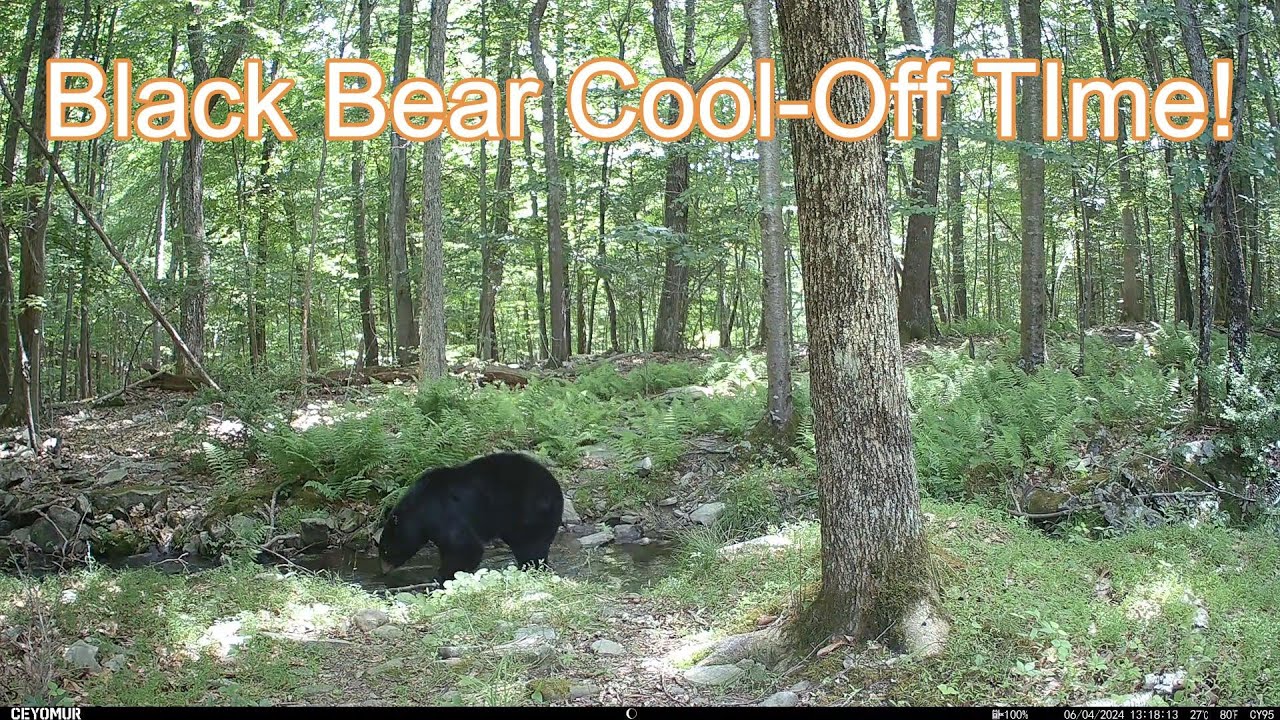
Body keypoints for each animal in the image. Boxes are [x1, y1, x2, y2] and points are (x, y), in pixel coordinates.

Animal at [377, 451, 565, 585]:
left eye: (385, 550)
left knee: (531, 549)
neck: (420, 510)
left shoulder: (444, 514)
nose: (383, 570)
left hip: (530, 514)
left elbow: (465, 547)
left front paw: (442, 577)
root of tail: (556, 488)